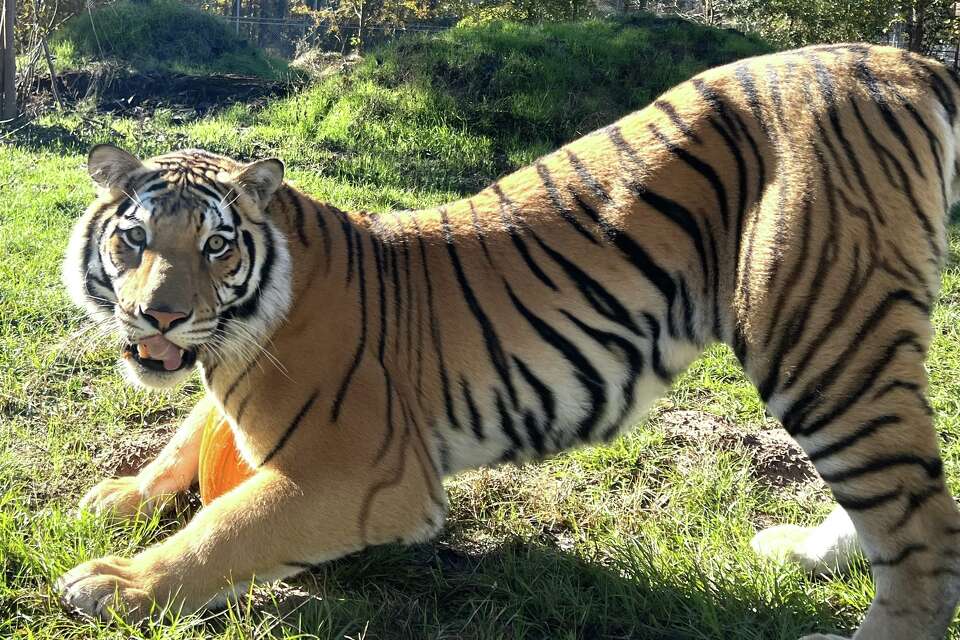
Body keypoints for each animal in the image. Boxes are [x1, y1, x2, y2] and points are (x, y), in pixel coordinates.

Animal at [54, 42, 960, 639]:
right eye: (135, 239)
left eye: (216, 245)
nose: (159, 317)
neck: (239, 333)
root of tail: (900, 56)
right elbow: (186, 431)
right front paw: (120, 495)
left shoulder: (359, 475)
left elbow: (227, 529)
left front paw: (117, 583)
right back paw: (803, 551)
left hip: (820, 329)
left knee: (920, 523)